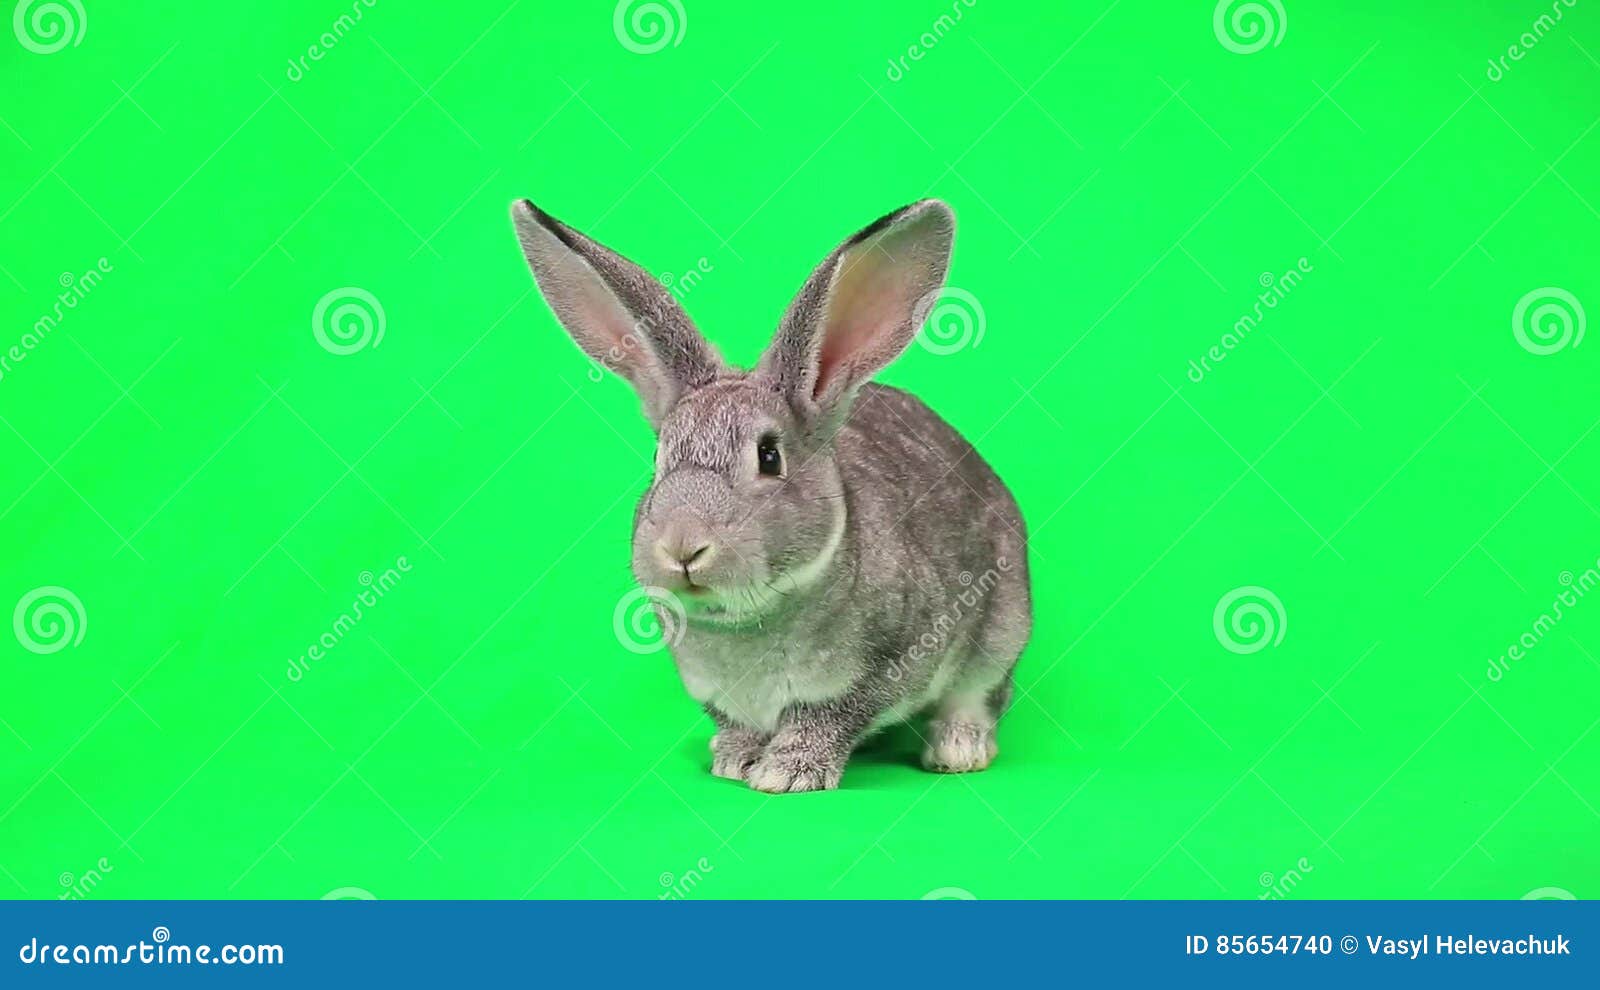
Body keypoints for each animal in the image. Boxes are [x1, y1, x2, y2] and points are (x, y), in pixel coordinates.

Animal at [511, 197, 1031, 793]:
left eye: (768, 457)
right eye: (660, 458)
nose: (682, 547)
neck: (750, 614)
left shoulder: (885, 662)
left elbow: (825, 719)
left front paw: (786, 773)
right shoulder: (716, 693)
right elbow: (737, 724)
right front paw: (733, 761)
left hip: (1002, 630)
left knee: (979, 697)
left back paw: (957, 751)